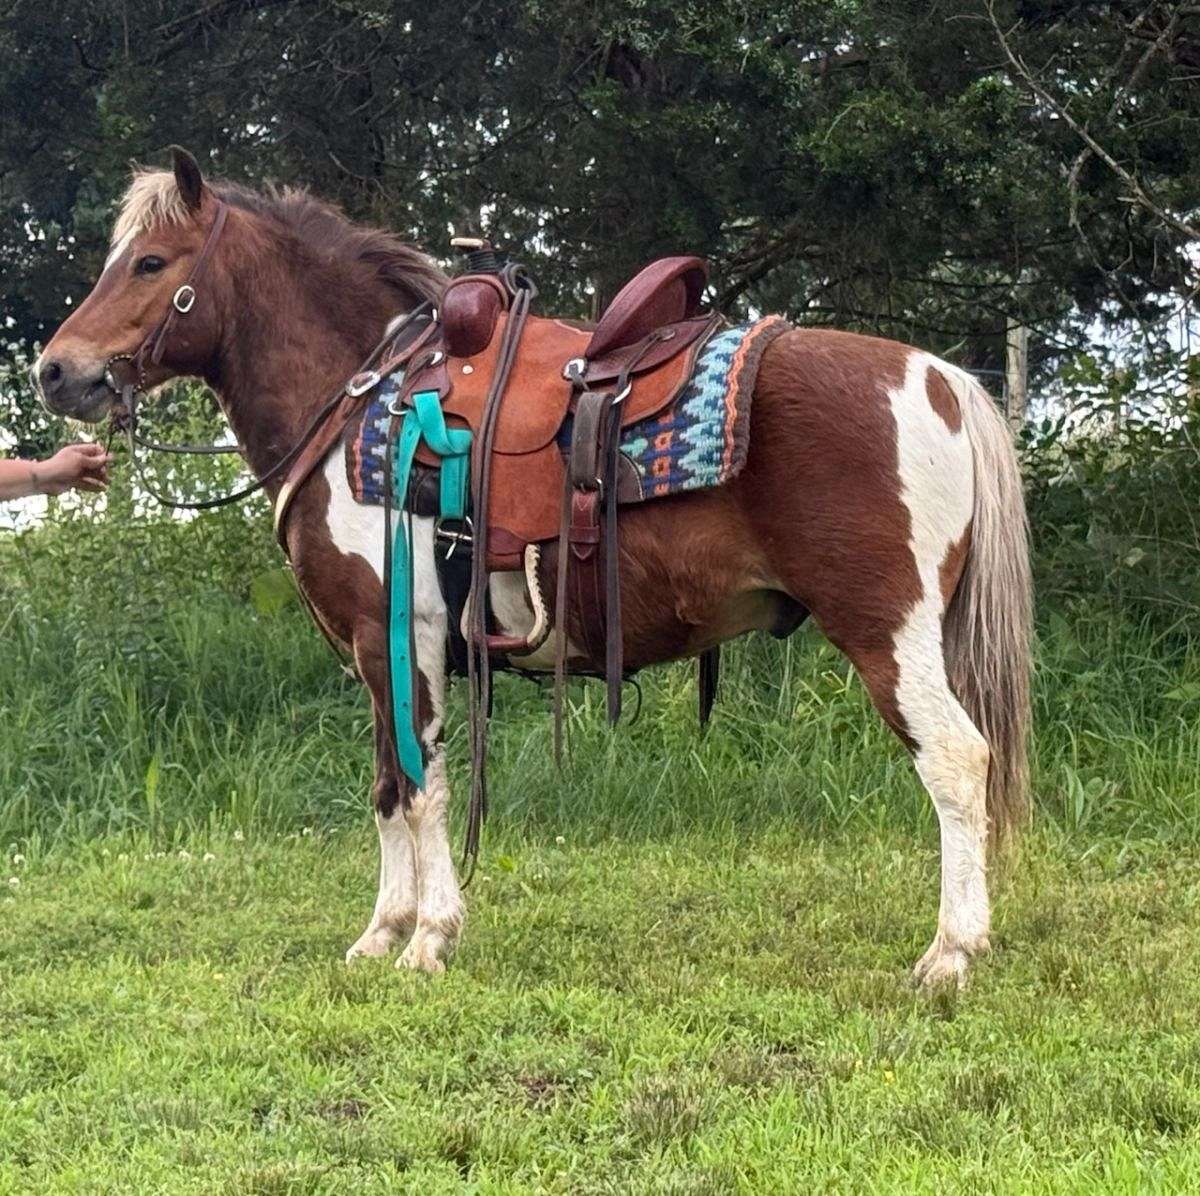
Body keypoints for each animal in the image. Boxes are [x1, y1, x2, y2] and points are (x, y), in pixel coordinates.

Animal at [34, 150, 1032, 989]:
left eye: (151, 263)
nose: (54, 372)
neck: (363, 404)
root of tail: (939, 379)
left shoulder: (401, 636)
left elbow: (423, 786)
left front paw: (430, 938)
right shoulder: (373, 651)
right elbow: (387, 787)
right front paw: (381, 932)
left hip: (885, 633)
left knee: (955, 760)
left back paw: (950, 953)